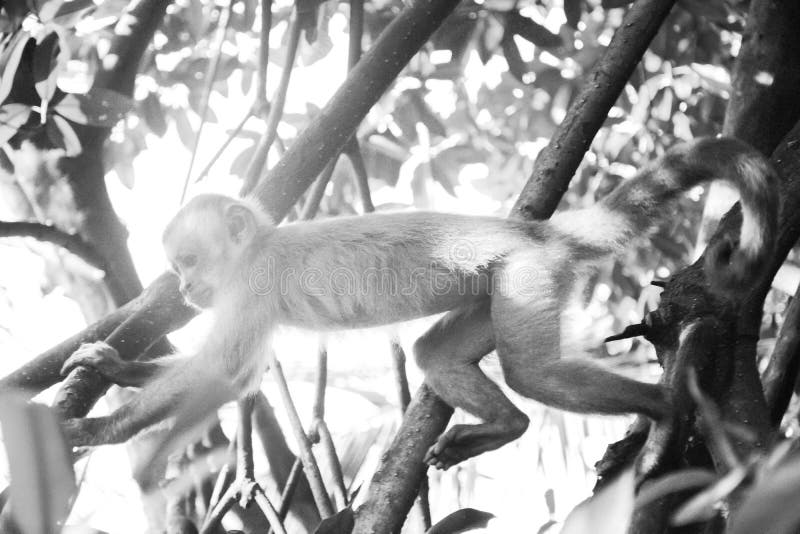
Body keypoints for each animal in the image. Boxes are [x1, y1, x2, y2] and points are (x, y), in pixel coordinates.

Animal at [60, 137, 778, 470]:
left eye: (188, 263)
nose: (182, 290)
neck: (258, 243)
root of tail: (536, 234)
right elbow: (240, 377)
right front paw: (112, 367)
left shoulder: (250, 283)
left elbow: (226, 372)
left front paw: (96, 429)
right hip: (504, 289)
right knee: (437, 353)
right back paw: (505, 425)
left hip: (526, 274)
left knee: (531, 371)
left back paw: (667, 406)